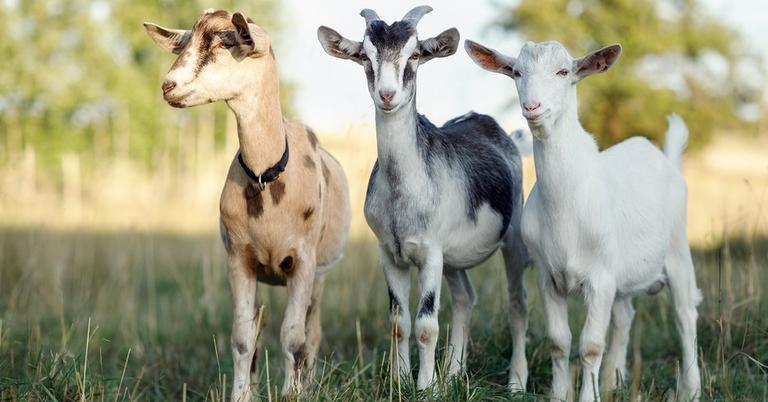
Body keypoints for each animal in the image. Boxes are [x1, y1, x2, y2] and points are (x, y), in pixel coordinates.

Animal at [145, 9, 351, 400]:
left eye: (226, 43)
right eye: (187, 40)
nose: (168, 86)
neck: (267, 176)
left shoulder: (303, 262)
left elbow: (294, 337)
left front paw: (291, 394)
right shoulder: (239, 260)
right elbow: (243, 337)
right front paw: (241, 394)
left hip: (320, 275)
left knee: (312, 334)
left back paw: (307, 384)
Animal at [318, 6, 530, 391]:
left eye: (415, 55)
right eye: (365, 56)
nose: (387, 95)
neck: (403, 193)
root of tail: (504, 133)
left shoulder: (430, 253)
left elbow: (426, 324)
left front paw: (425, 386)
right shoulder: (391, 254)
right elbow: (399, 322)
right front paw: (401, 381)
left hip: (513, 239)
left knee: (518, 305)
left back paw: (515, 382)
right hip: (454, 259)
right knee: (465, 298)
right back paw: (454, 373)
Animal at [466, 39, 702, 401]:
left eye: (564, 72)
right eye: (516, 72)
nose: (532, 107)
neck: (565, 208)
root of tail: (665, 158)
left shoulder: (600, 277)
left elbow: (591, 345)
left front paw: (587, 395)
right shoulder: (548, 275)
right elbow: (559, 341)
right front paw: (559, 394)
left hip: (677, 248)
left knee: (684, 313)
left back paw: (690, 388)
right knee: (624, 315)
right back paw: (613, 381)